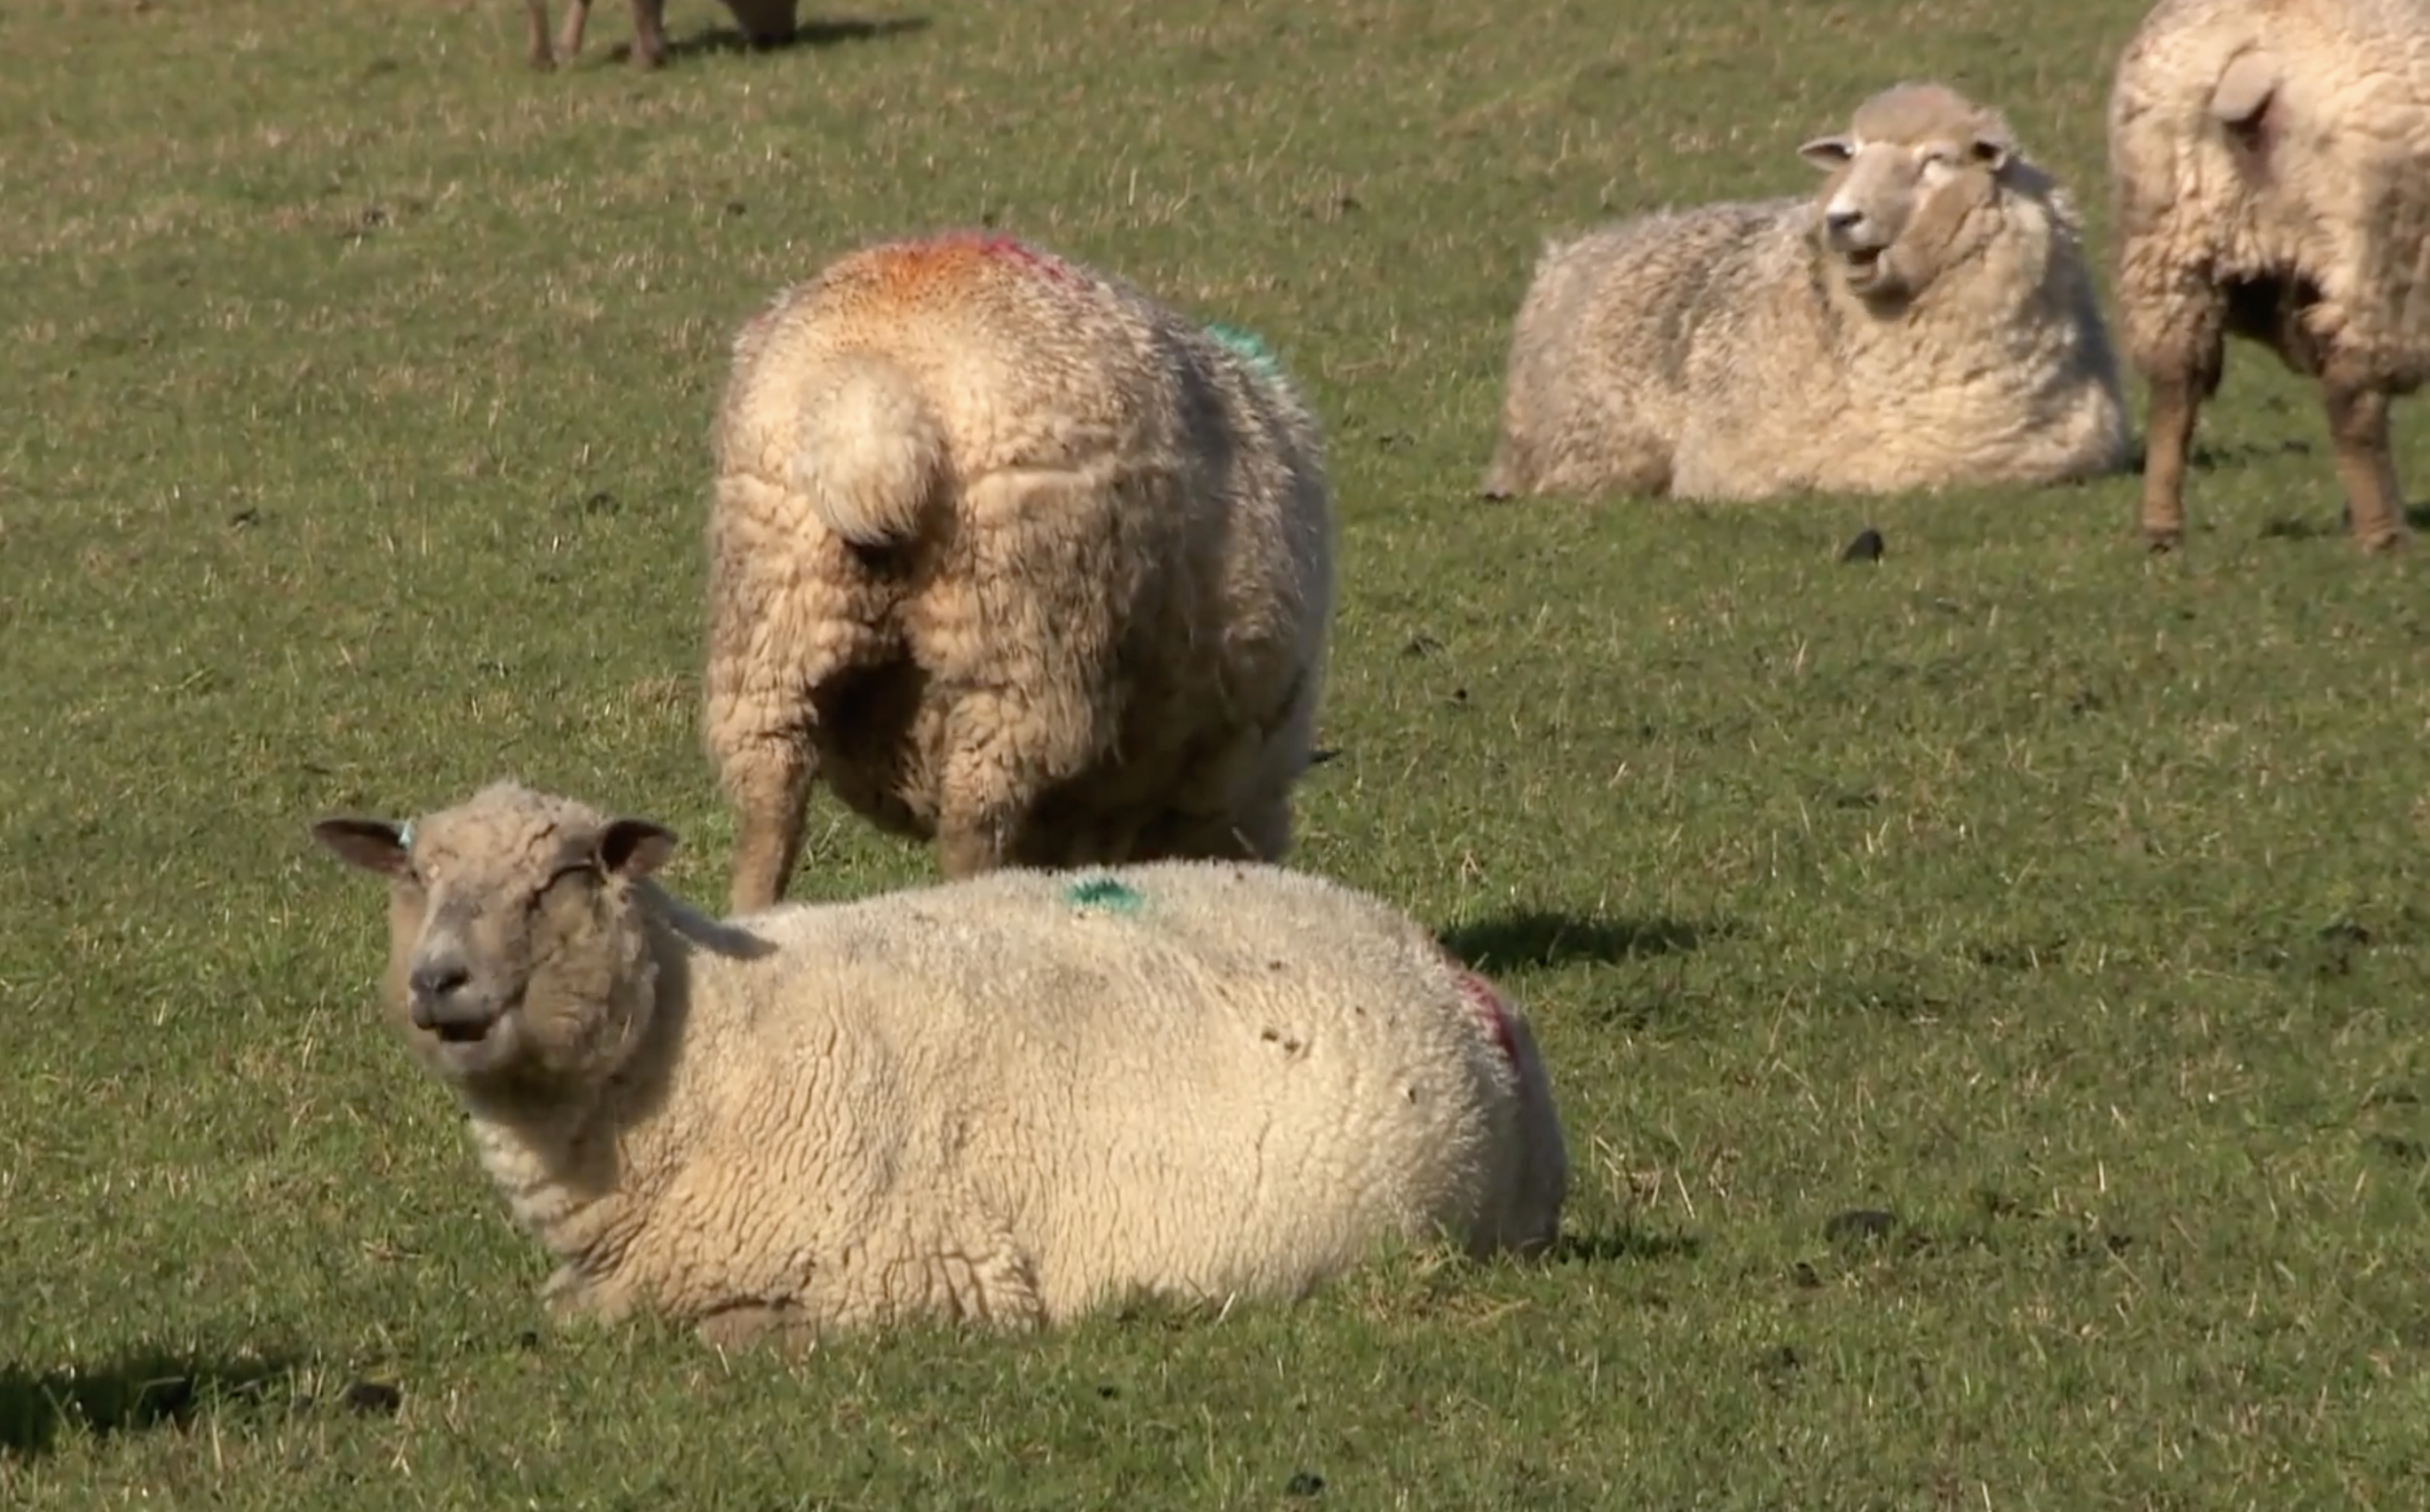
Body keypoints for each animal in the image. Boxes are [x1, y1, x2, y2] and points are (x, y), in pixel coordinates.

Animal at [307, 780, 1570, 1351]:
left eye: (561, 879)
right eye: (412, 877)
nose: (439, 983)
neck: (707, 1041)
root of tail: (1450, 976)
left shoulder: (902, 1282)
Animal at [2109, 0, 2430, 553]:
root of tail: (2253, 51)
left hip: (2169, 236)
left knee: (2174, 383)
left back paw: (2162, 528)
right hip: (2388, 256)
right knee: (2353, 394)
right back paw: (2385, 537)